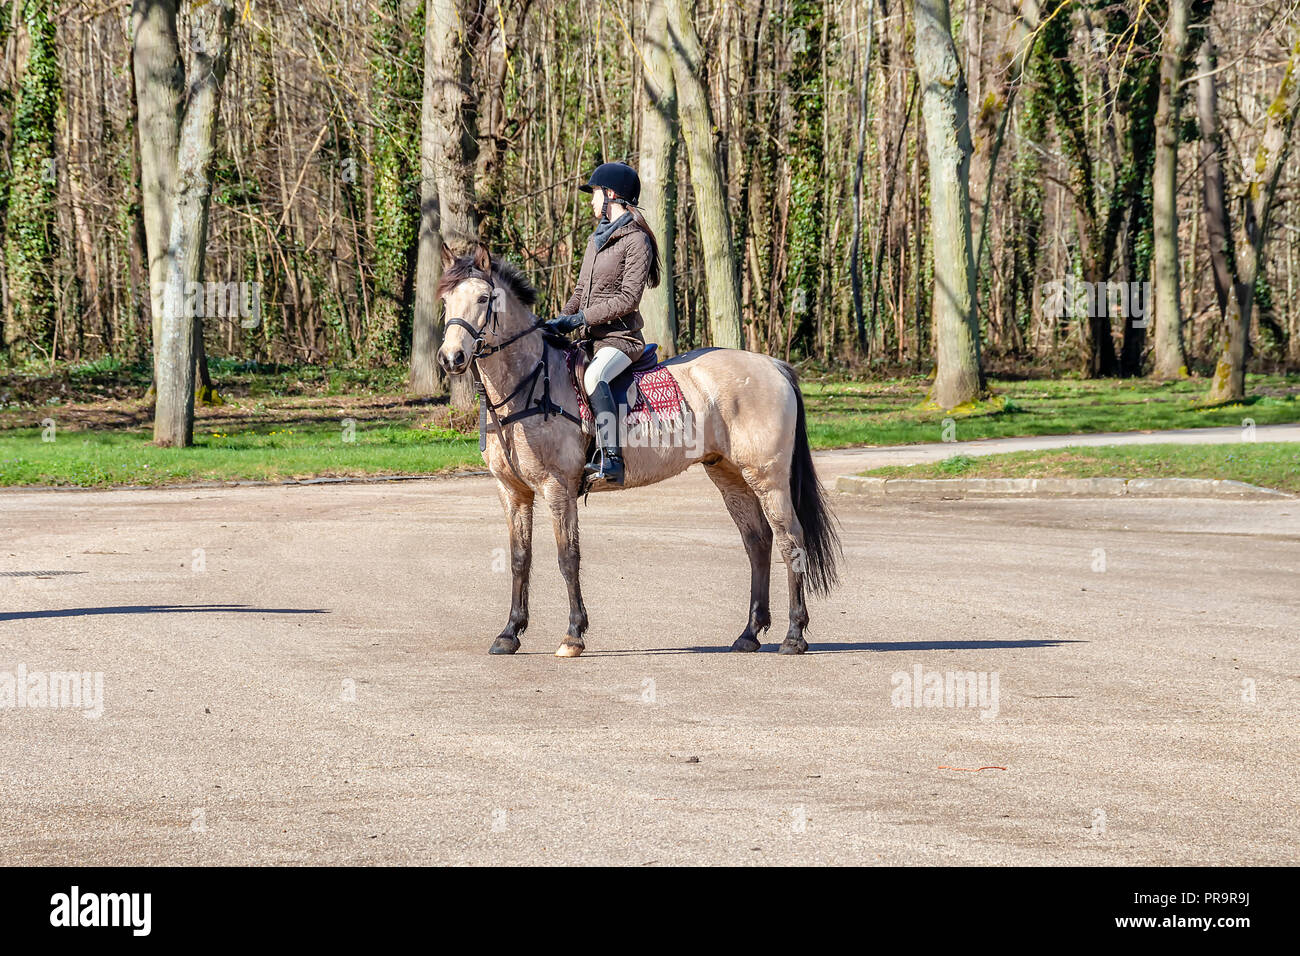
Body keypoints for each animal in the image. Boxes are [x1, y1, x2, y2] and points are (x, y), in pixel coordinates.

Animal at [436, 244, 841, 657]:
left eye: (484, 298)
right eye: (445, 301)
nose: (451, 358)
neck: (530, 383)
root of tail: (772, 364)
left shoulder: (557, 487)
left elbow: (568, 557)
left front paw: (573, 634)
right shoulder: (512, 491)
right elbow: (520, 558)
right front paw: (510, 633)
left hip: (767, 477)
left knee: (791, 540)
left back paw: (794, 635)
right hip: (728, 474)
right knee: (758, 541)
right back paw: (749, 633)